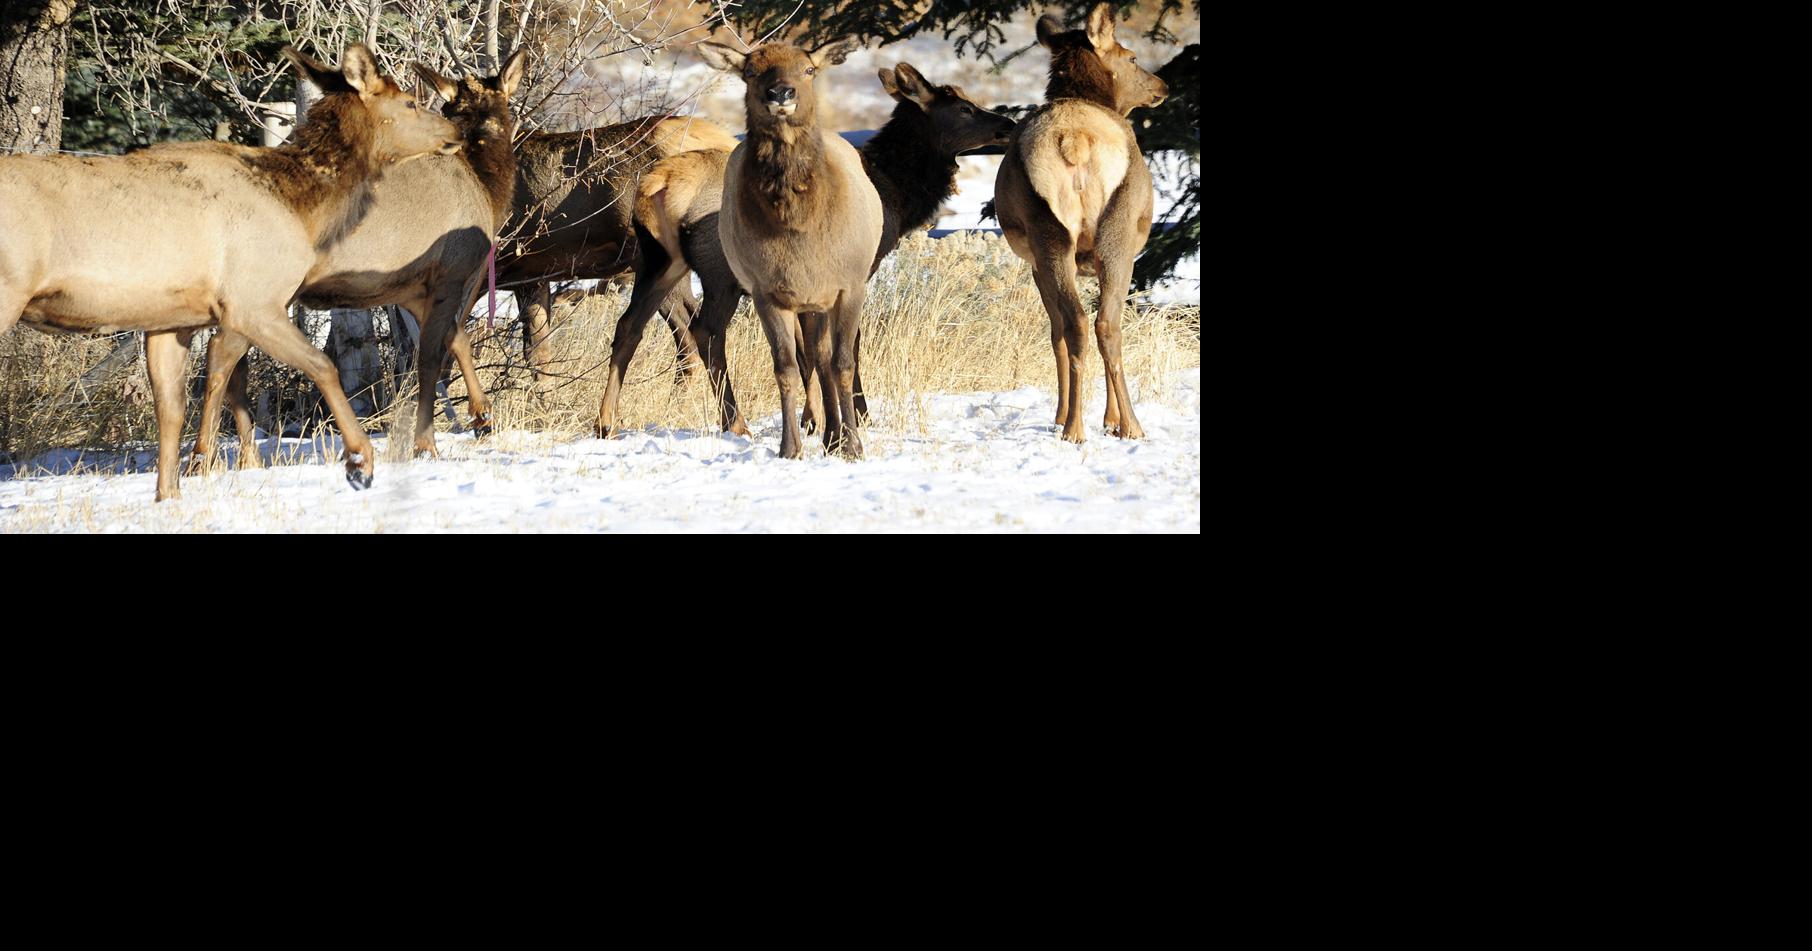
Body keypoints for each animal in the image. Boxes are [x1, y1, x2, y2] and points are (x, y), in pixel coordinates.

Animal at [0, 44, 462, 501]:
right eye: (410, 102)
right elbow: (322, 365)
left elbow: (171, 409)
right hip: (8, 295)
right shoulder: (253, 300)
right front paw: (359, 459)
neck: (303, 208)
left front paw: (170, 495)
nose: (454, 132)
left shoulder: (171, 320)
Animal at [190, 46, 528, 469]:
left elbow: (458, 339)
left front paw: (483, 415)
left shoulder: (412, 289)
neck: (486, 186)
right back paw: (204, 456)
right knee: (223, 353)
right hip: (259, 287)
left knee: (236, 363)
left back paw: (246, 457)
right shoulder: (450, 271)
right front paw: (425, 444)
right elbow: (431, 358)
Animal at [594, 61, 1015, 440]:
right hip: (719, 271)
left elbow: (805, 349)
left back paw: (606, 423)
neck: (895, 195)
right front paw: (852, 418)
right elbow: (838, 347)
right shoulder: (852, 272)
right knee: (706, 330)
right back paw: (735, 423)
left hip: (657, 262)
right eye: (963, 107)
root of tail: (659, 185)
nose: (1007, 124)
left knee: (629, 326)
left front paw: (815, 420)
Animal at [692, 37, 882, 459]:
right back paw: (828, 435)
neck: (800, 230)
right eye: (750, 71)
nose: (780, 93)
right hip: (801, 301)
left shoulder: (850, 284)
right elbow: (786, 367)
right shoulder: (766, 290)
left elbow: (844, 364)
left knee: (826, 359)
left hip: (823, 298)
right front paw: (789, 447)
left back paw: (836, 437)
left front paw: (854, 446)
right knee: (813, 357)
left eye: (808, 69)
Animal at [993, 4, 1168, 443]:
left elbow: (1058, 330)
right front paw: (1109, 419)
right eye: (1132, 57)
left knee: (1076, 324)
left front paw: (1077, 417)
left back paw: (1073, 428)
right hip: (1115, 233)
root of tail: (1075, 140)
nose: (1162, 85)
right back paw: (1129, 425)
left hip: (1049, 233)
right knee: (1105, 324)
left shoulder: (1042, 263)